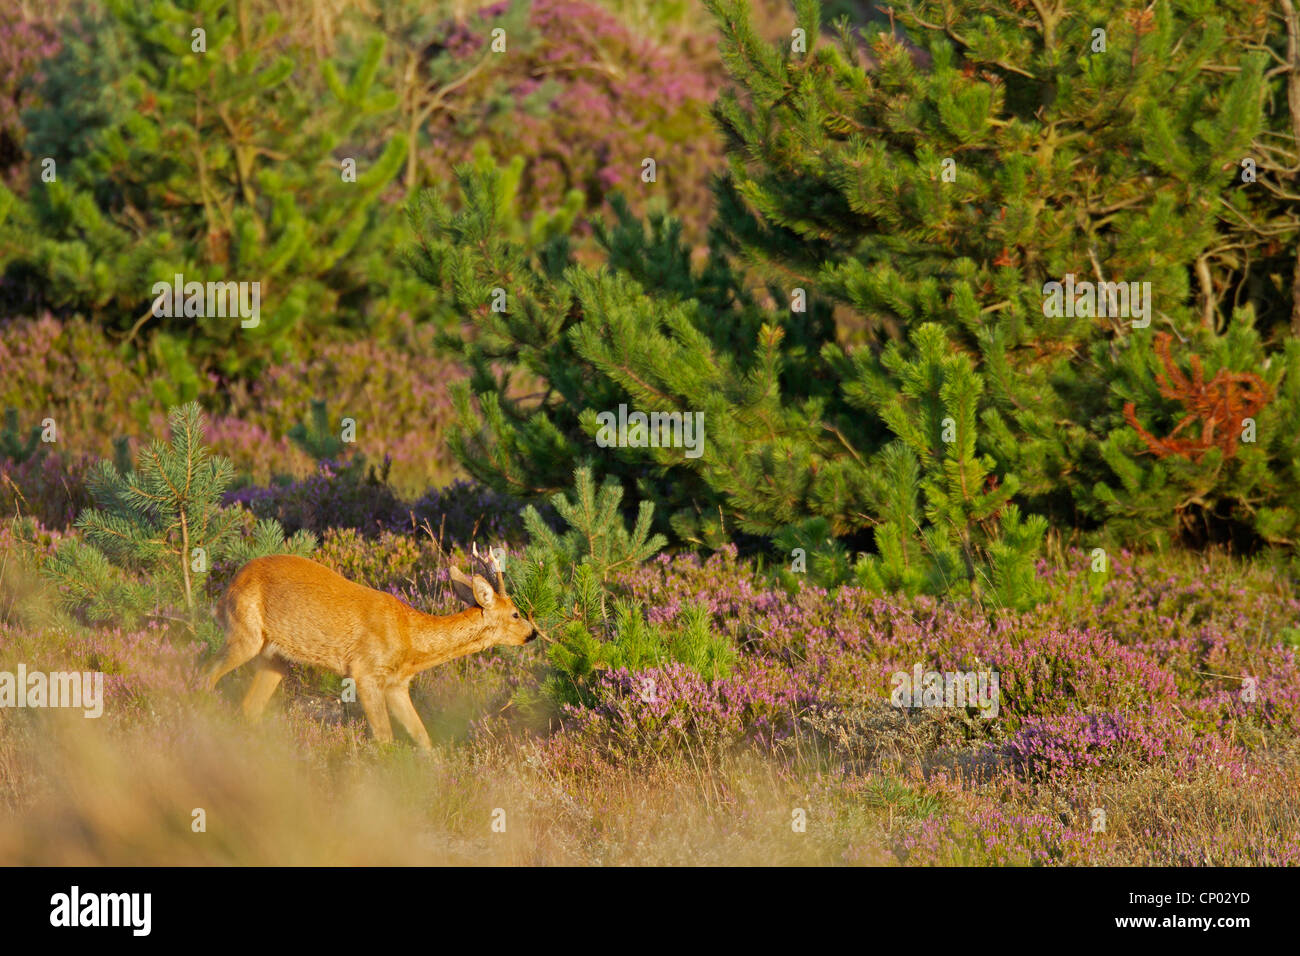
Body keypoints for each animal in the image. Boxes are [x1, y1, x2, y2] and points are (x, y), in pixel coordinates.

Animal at [204, 543, 538, 749]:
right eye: (515, 613)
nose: (533, 633)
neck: (409, 637)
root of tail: (226, 590)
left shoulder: (397, 684)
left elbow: (422, 736)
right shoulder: (364, 671)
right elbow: (385, 737)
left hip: (276, 657)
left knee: (249, 705)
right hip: (244, 632)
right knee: (207, 674)